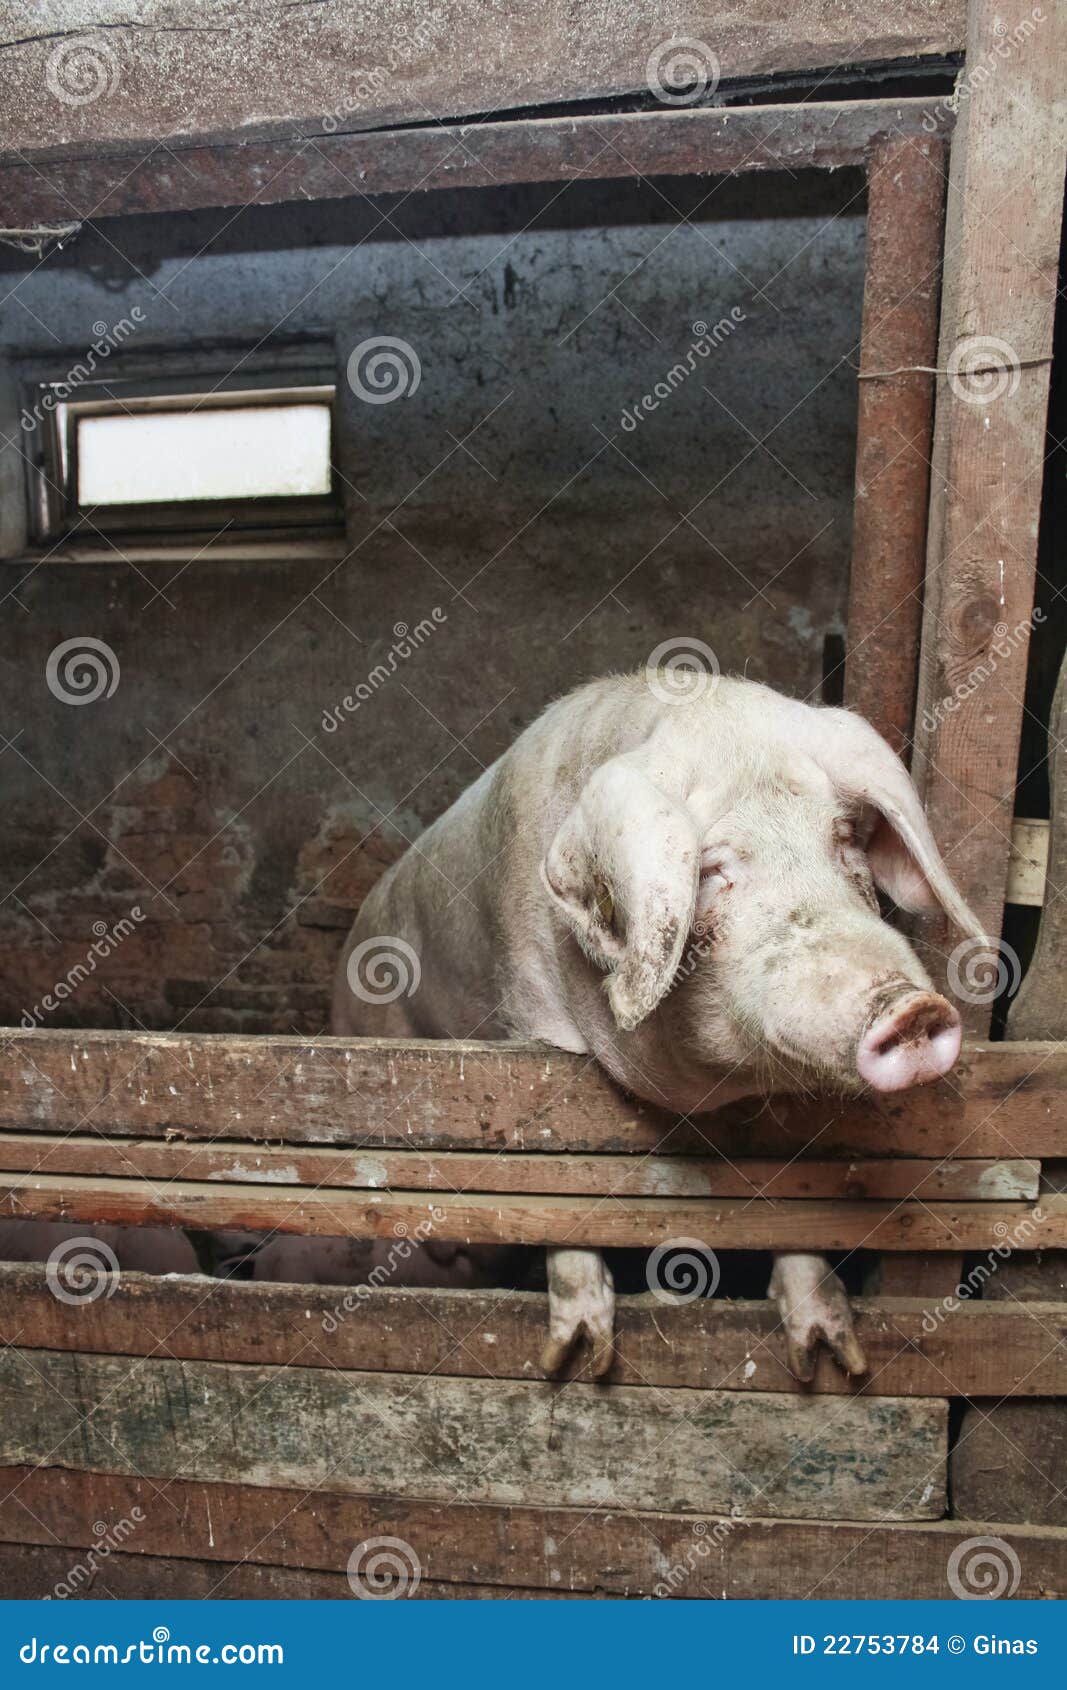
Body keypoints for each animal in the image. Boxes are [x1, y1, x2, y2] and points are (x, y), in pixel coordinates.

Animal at [333, 671, 988, 1380]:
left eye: (843, 839)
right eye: (713, 868)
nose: (913, 1008)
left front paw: (830, 1365)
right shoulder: (529, 1024)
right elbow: (553, 1179)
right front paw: (578, 1366)